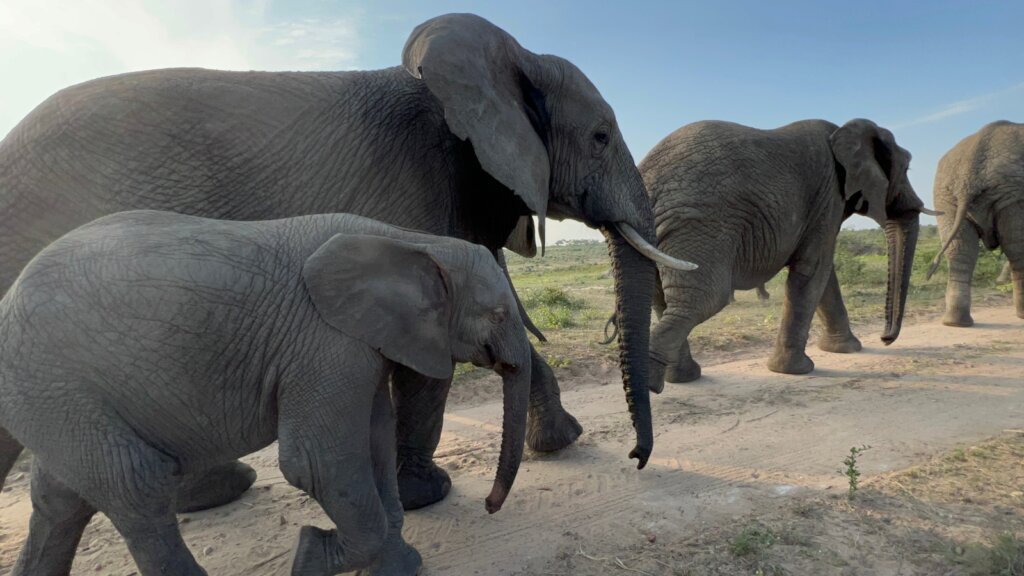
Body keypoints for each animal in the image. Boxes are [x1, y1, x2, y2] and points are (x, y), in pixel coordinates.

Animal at [0, 13, 693, 511]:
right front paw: (428, 497)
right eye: (600, 137)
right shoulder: (413, 184)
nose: (637, 460)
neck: (511, 56)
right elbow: (429, 355)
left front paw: (560, 442)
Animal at [0, 210, 532, 576]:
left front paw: (399, 567)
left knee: (60, 497)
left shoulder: (359, 345)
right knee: (137, 485)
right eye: (499, 313)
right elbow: (318, 462)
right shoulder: (324, 343)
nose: (490, 506)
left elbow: (375, 441)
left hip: (54, 394)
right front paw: (309, 553)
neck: (409, 240)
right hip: (50, 381)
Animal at [640, 119, 932, 387]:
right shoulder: (828, 195)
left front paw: (847, 349)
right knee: (702, 300)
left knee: (662, 298)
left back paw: (681, 378)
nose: (886, 339)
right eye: (906, 166)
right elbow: (813, 270)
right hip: (704, 222)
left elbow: (825, 277)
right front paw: (797, 370)